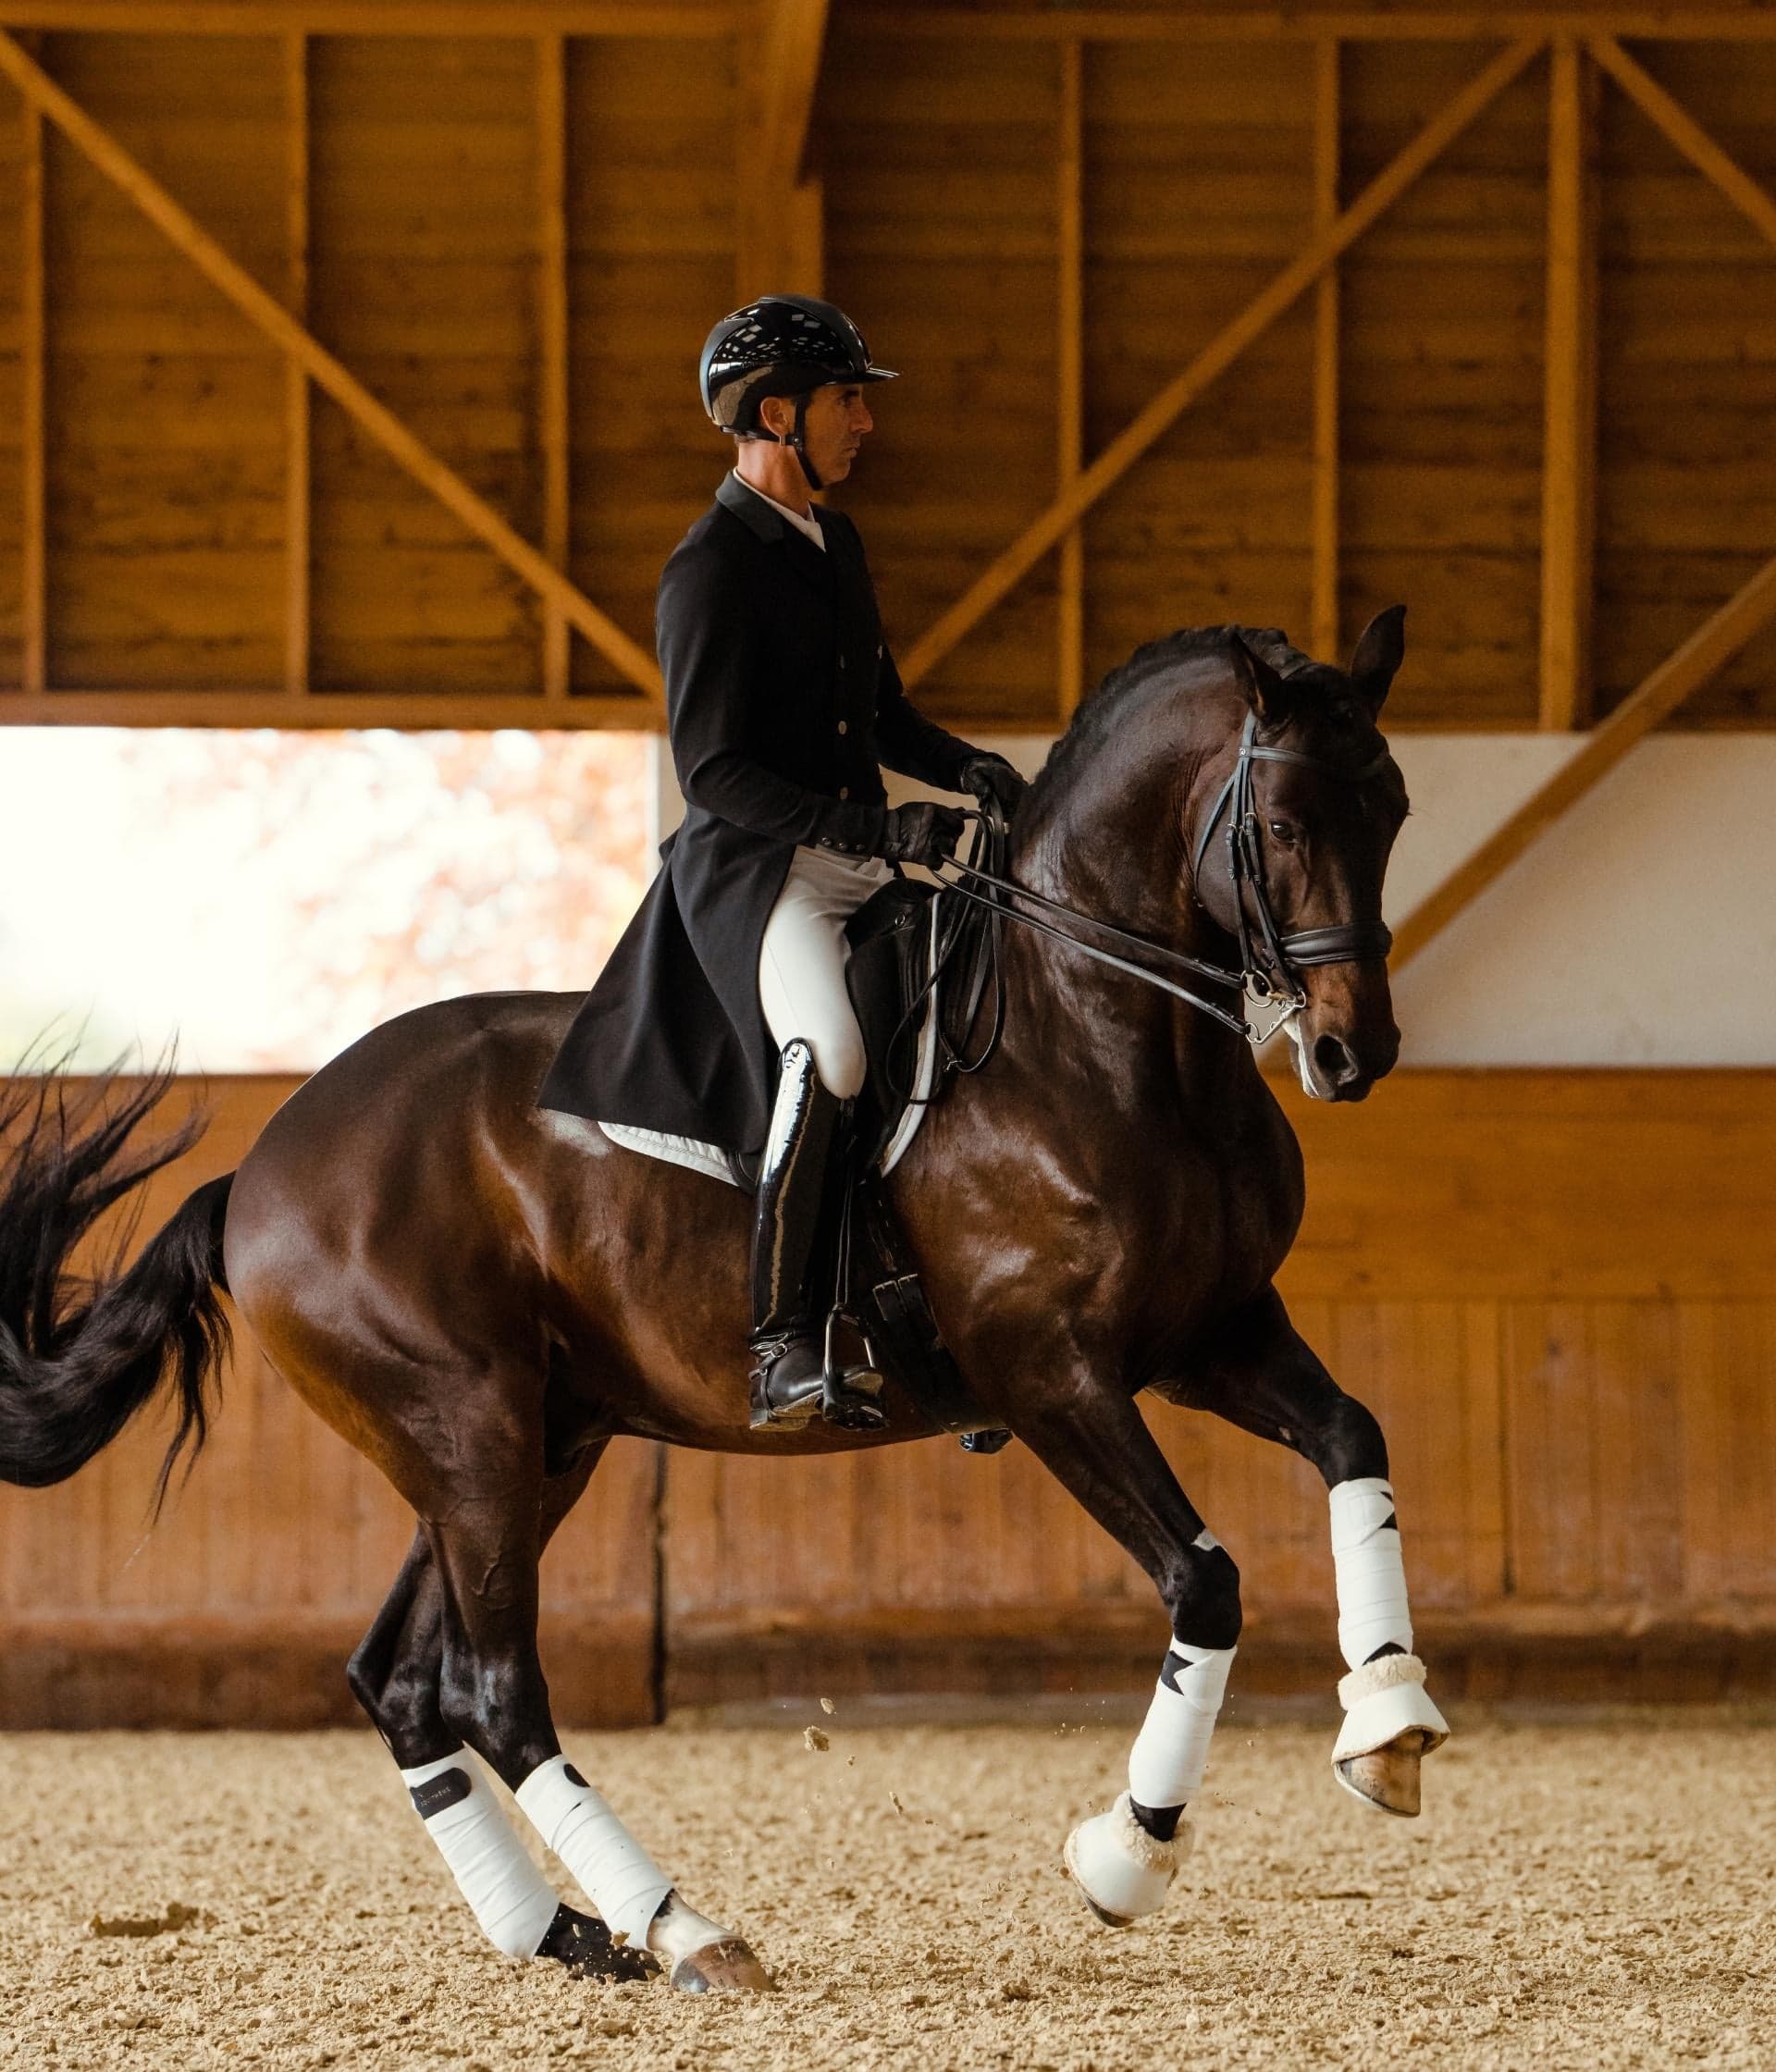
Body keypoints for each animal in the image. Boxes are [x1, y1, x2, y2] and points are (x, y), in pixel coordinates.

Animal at [0, 609, 1448, 1992]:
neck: (1100, 1033)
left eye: (1393, 808)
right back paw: (682, 1929)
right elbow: (1204, 1582)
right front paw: (1126, 1854)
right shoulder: (1051, 1374)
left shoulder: (1208, 1333)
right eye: (1281, 822)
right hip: (469, 1439)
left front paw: (1388, 1725)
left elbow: (1354, 1437)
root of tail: (263, 1169)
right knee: (492, 1686)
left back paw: (565, 1934)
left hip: (529, 1445)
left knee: (404, 1681)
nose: (1351, 1051)